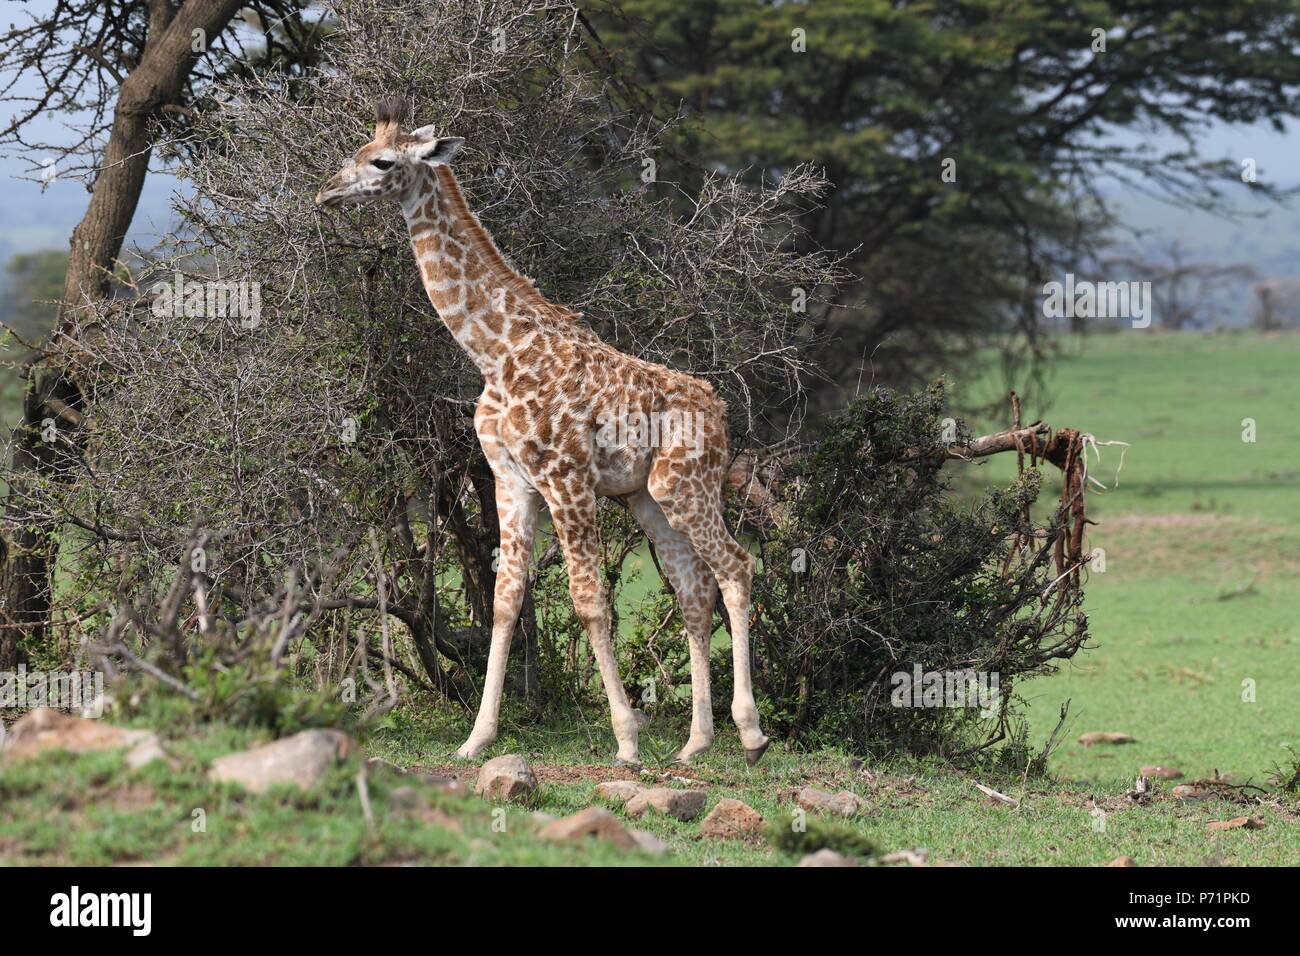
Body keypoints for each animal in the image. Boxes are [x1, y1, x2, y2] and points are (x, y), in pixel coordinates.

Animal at [315, 98, 769, 767]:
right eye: (355, 151)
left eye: (382, 162)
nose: (327, 191)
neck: (494, 351)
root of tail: (720, 412)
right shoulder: (511, 479)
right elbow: (504, 599)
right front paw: (476, 738)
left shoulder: (566, 478)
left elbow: (590, 600)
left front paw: (626, 741)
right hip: (648, 496)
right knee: (694, 589)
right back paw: (695, 742)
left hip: (686, 483)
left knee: (736, 568)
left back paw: (750, 733)